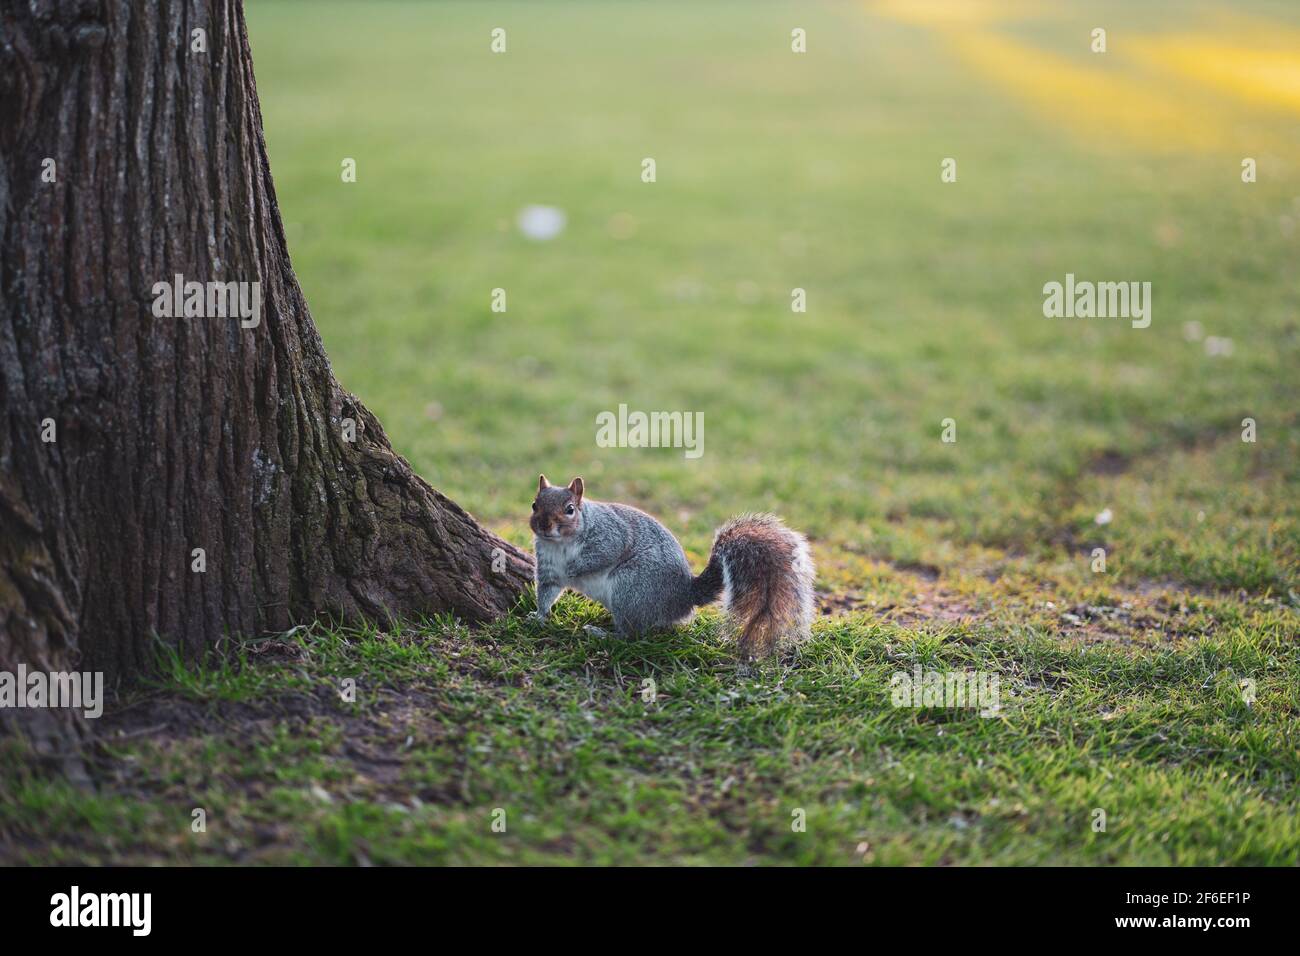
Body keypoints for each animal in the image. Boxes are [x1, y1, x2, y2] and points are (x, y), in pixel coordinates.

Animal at [529, 475, 815, 659]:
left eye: (570, 509)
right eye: (534, 505)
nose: (543, 525)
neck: (561, 544)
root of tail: (684, 595)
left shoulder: (610, 536)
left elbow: (603, 554)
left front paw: (576, 569)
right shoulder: (547, 568)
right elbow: (547, 591)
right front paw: (539, 617)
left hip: (631, 586)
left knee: (632, 635)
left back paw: (601, 633)